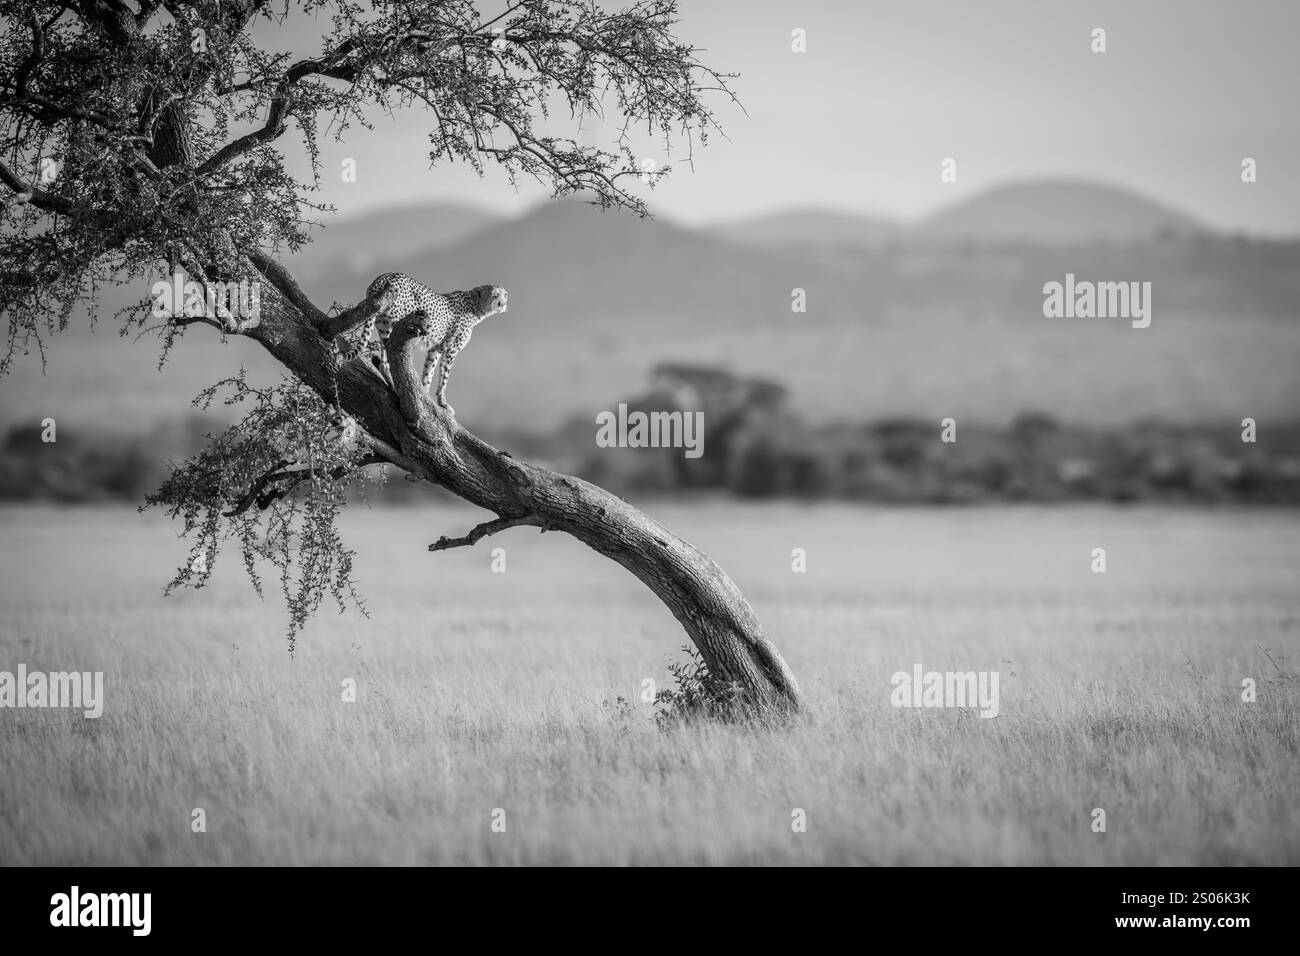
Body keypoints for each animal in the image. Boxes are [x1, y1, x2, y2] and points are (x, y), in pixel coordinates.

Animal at [348, 272, 509, 416]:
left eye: (505, 295)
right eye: (494, 295)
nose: (502, 304)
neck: (476, 307)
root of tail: (383, 277)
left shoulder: (435, 349)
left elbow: (428, 373)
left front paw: (424, 396)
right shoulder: (451, 350)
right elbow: (444, 378)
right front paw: (443, 404)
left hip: (383, 327)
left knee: (384, 360)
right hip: (395, 324)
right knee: (389, 357)